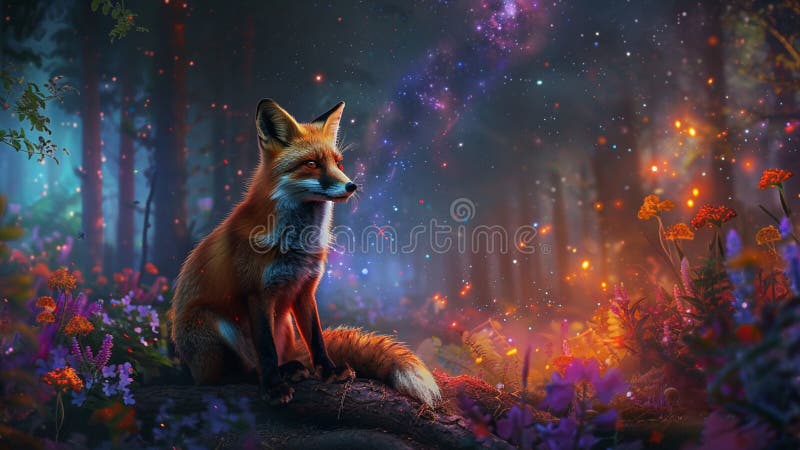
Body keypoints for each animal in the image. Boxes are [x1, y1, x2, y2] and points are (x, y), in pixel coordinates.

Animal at [168, 99, 440, 406]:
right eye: (311, 164)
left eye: (338, 162)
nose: (351, 185)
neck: (296, 245)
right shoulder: (257, 293)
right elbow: (266, 348)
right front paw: (273, 386)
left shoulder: (305, 288)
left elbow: (316, 338)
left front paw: (329, 371)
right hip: (209, 323)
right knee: (225, 376)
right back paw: (268, 375)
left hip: (284, 324)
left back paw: (292, 368)